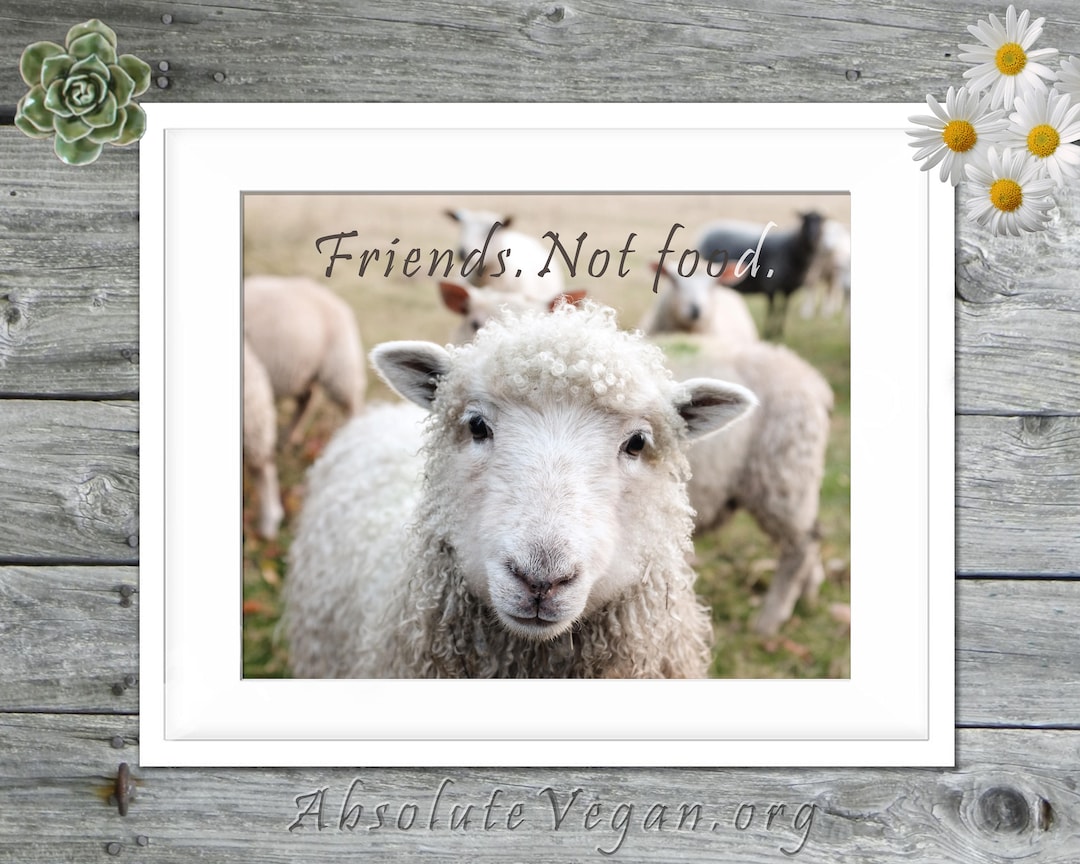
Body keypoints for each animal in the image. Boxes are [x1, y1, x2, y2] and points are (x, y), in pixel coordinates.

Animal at [696, 211, 824, 339]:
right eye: (805, 220)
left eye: (821, 222)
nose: (812, 236)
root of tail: (706, 231)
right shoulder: (770, 287)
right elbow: (771, 310)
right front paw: (769, 332)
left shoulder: (789, 289)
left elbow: (783, 310)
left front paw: (780, 332)